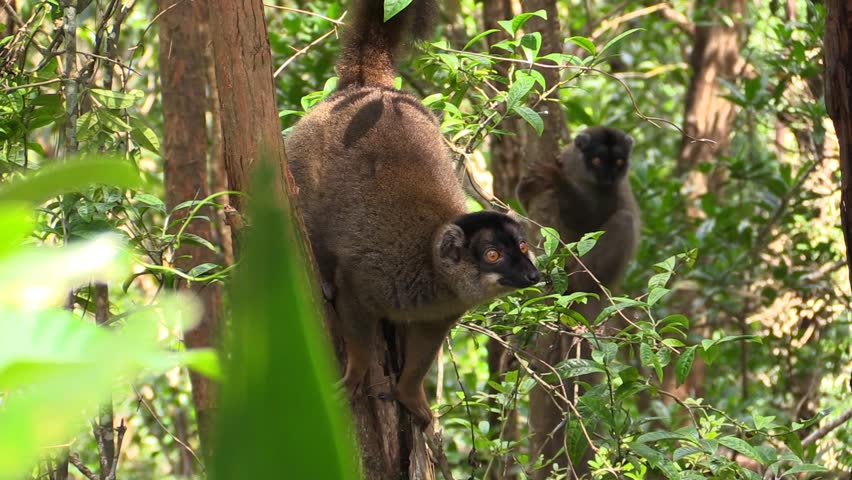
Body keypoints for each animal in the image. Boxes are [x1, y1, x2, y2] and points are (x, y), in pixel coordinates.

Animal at [284, 0, 541, 427]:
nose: (532, 275)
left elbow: (424, 346)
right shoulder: (371, 278)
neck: (432, 271)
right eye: (492, 255)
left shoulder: (443, 309)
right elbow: (355, 313)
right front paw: (356, 372)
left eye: (522, 247)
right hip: (298, 159)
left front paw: (410, 394)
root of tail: (368, 91)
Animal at [516, 126, 639, 478]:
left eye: (618, 163)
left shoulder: (614, 190)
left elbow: (595, 216)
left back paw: (577, 279)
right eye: (597, 160)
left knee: (624, 220)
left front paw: (554, 179)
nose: (608, 176)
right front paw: (528, 187)